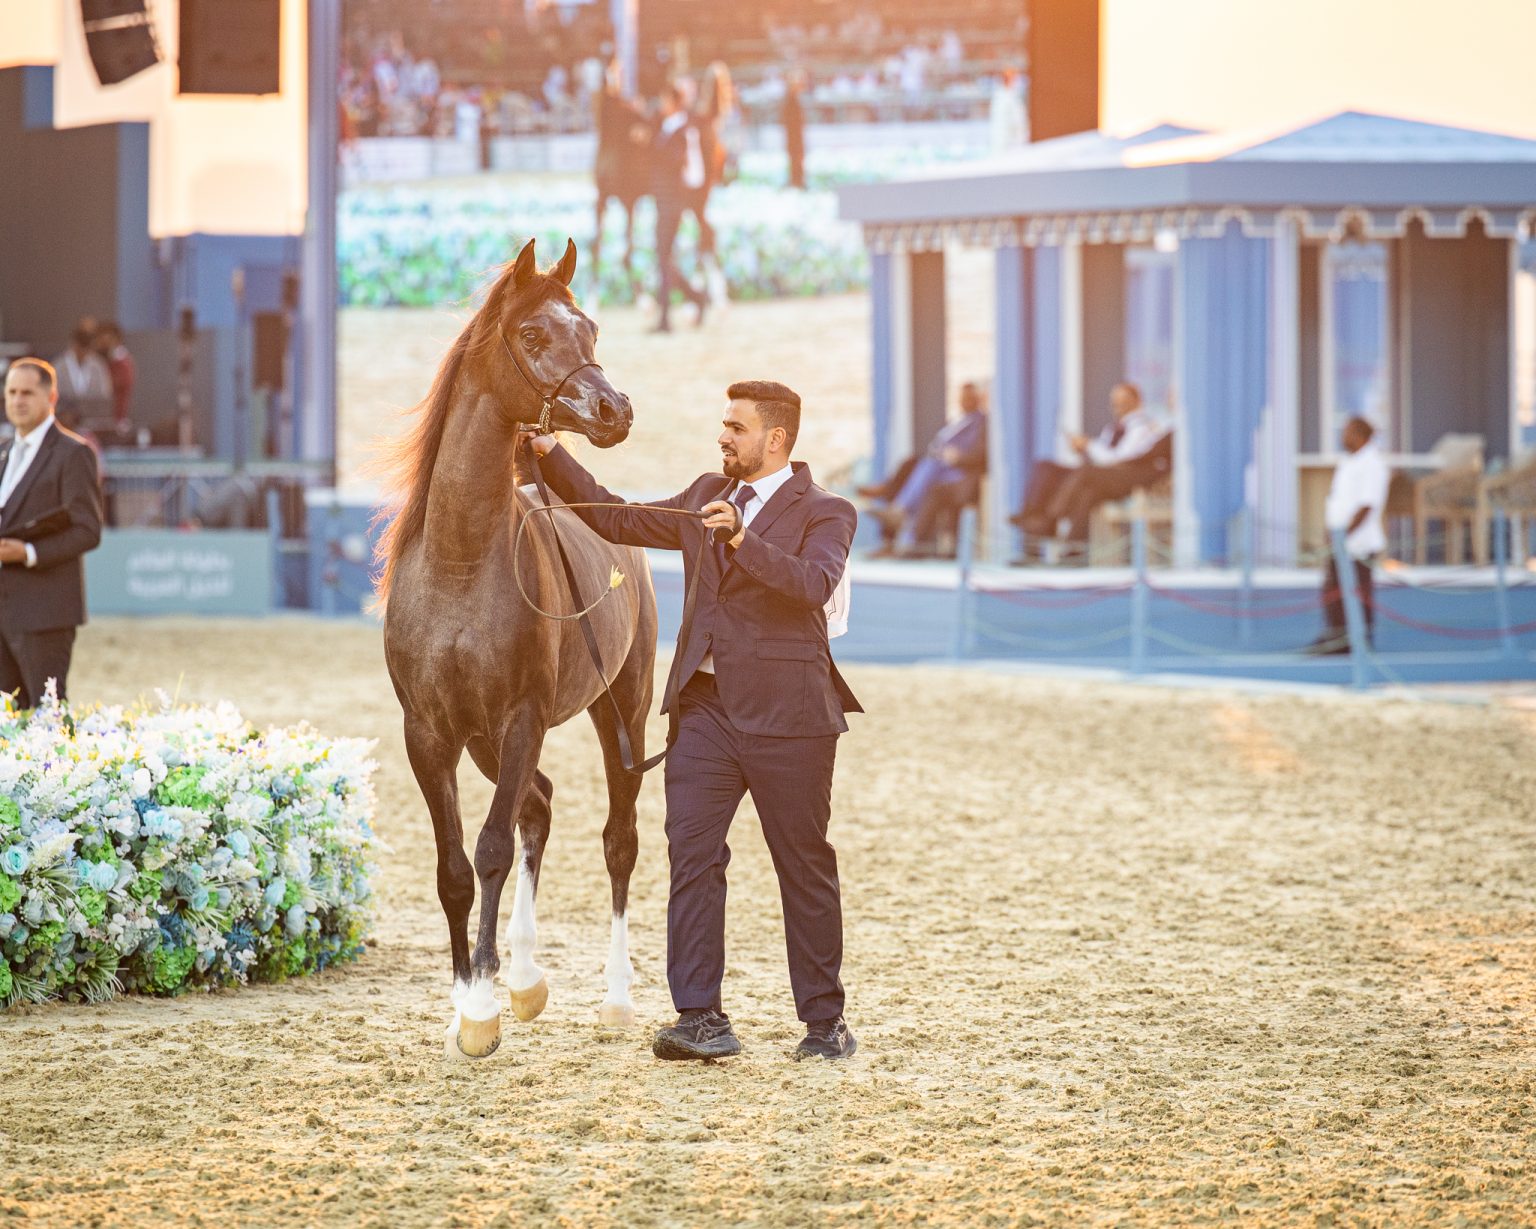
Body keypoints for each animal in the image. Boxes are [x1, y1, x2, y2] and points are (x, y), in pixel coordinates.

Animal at [376, 237, 658, 1059]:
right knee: (540, 805)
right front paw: (471, 999)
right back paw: (524, 975)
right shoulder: (429, 734)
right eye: (533, 335)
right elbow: (454, 868)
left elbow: (492, 847)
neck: (463, 563)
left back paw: (615, 998)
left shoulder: (523, 718)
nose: (614, 409)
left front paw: (478, 1011)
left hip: (621, 713)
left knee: (616, 839)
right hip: (486, 745)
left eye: (589, 327)